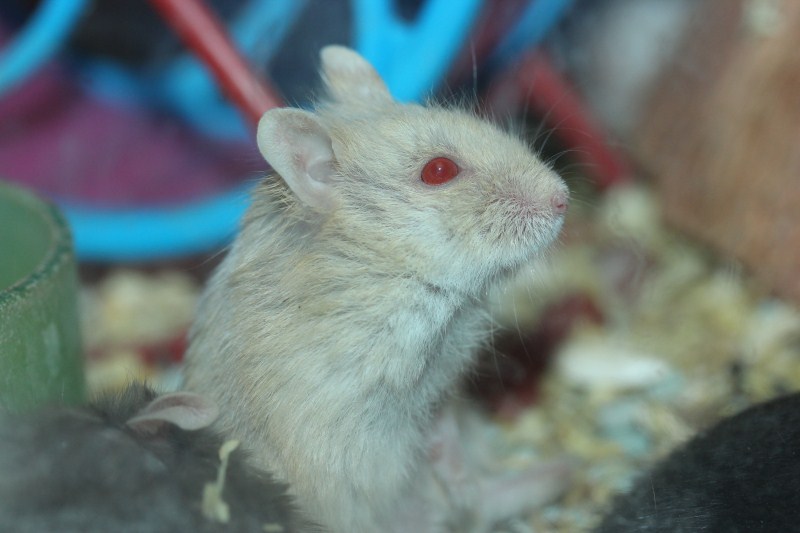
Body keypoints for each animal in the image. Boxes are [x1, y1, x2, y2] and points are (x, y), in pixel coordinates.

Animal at [184, 45, 569, 532]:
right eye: (438, 170)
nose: (564, 198)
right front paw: (459, 492)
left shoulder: (439, 390)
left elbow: (443, 435)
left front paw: (462, 486)